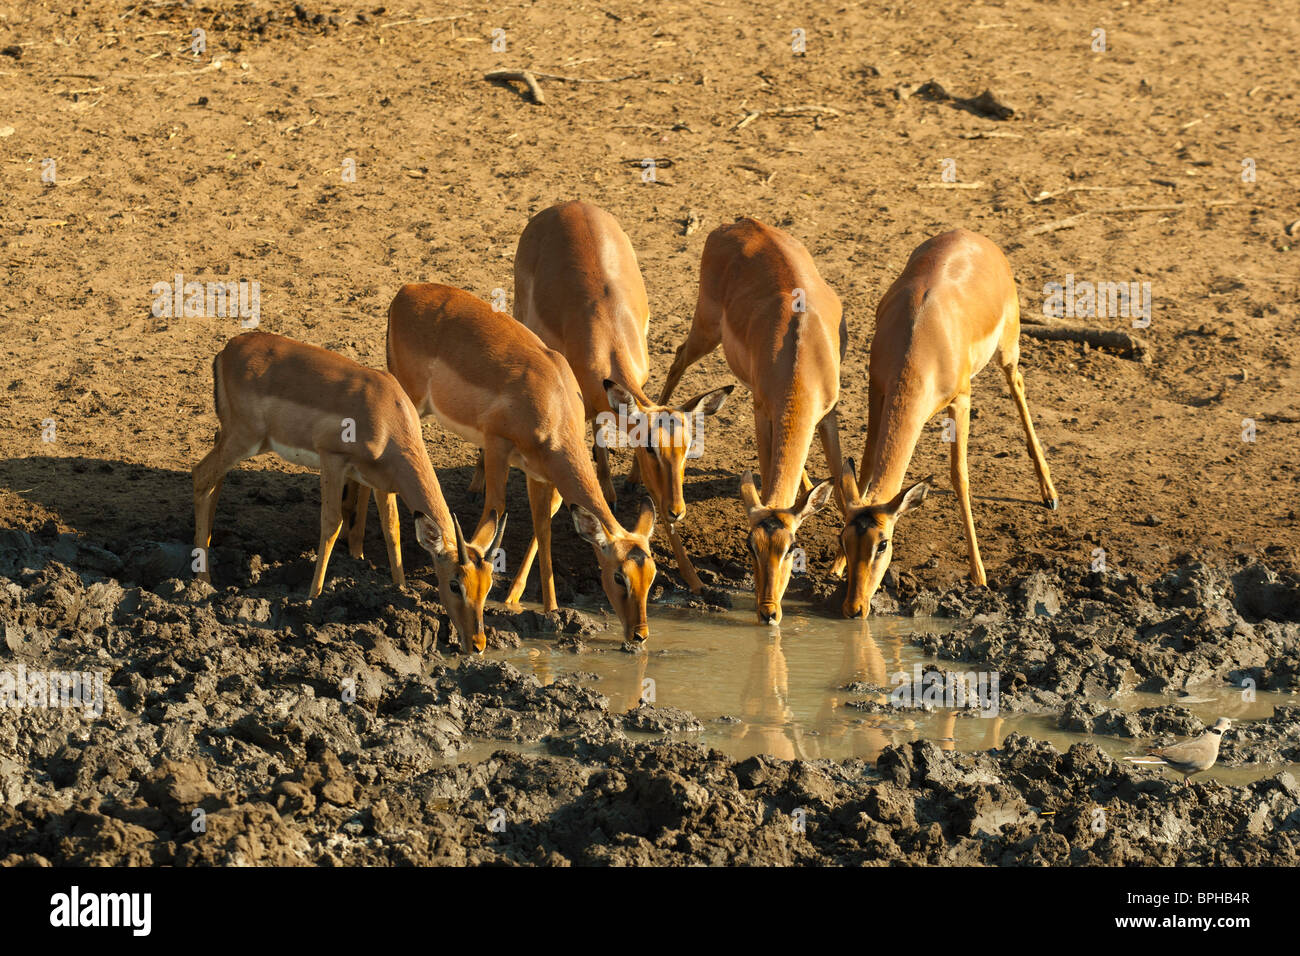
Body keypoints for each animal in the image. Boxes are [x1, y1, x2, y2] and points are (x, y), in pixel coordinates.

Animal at [192, 331, 503, 651]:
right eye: (455, 584)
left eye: (488, 585)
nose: (478, 644)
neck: (387, 417)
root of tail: (228, 350)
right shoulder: (333, 460)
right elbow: (332, 523)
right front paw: (313, 596)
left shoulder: (382, 483)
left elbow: (392, 530)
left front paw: (401, 588)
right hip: (245, 440)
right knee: (199, 476)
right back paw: (203, 579)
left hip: (238, 439)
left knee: (213, 476)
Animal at [347, 283, 659, 643]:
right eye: (619, 576)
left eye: (651, 575)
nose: (640, 634)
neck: (551, 401)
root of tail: (407, 290)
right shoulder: (497, 448)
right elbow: (494, 509)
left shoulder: (541, 472)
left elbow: (543, 525)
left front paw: (551, 610)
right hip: (409, 403)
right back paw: (357, 552)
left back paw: (356, 550)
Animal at [513, 200, 732, 594]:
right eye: (651, 448)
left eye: (687, 448)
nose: (679, 509)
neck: (607, 339)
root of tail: (567, 204)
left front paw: (695, 580)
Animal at [659, 217, 844, 624]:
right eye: (750, 545)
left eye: (792, 546)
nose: (768, 612)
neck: (800, 354)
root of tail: (743, 222)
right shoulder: (763, 411)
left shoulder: (828, 414)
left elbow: (843, 487)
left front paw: (840, 568)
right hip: (705, 329)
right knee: (678, 357)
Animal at [837, 229, 1059, 618]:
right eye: (845, 538)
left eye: (884, 543)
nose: (854, 608)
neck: (920, 339)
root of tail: (972, 235)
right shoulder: (877, 390)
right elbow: (863, 469)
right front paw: (834, 568)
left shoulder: (961, 401)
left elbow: (959, 476)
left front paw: (979, 575)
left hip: (1008, 350)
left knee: (1017, 384)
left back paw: (1050, 495)